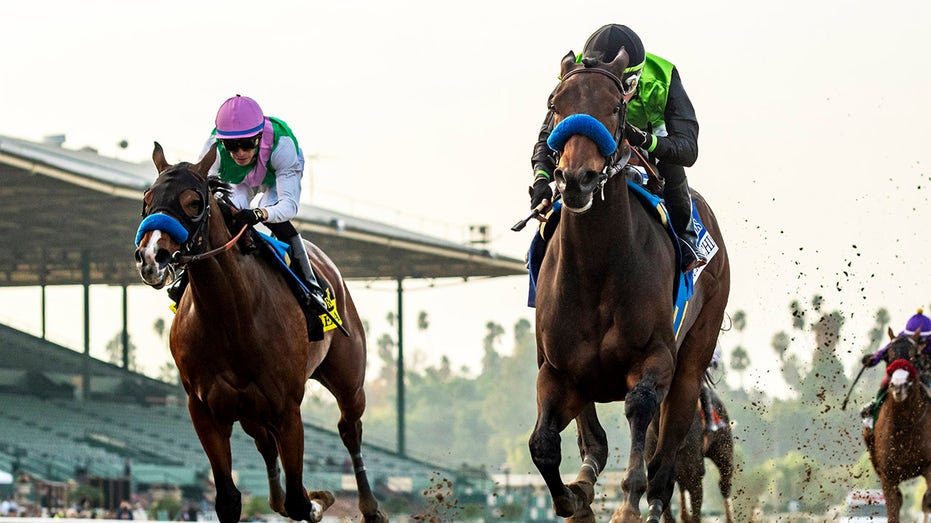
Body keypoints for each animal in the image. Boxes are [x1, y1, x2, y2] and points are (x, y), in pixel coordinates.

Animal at [133, 143, 387, 523]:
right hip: (250, 411)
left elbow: (300, 501)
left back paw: (370, 508)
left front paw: (320, 500)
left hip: (348, 378)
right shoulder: (205, 410)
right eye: (147, 199)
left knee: (349, 428)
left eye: (193, 202)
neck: (231, 316)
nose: (151, 257)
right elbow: (229, 500)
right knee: (267, 447)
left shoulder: (287, 408)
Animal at [864, 329, 931, 523]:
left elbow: (927, 501)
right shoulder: (888, 475)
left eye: (914, 356)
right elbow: (893, 510)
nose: (899, 385)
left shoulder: (929, 466)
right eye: (888, 356)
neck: (905, 425)